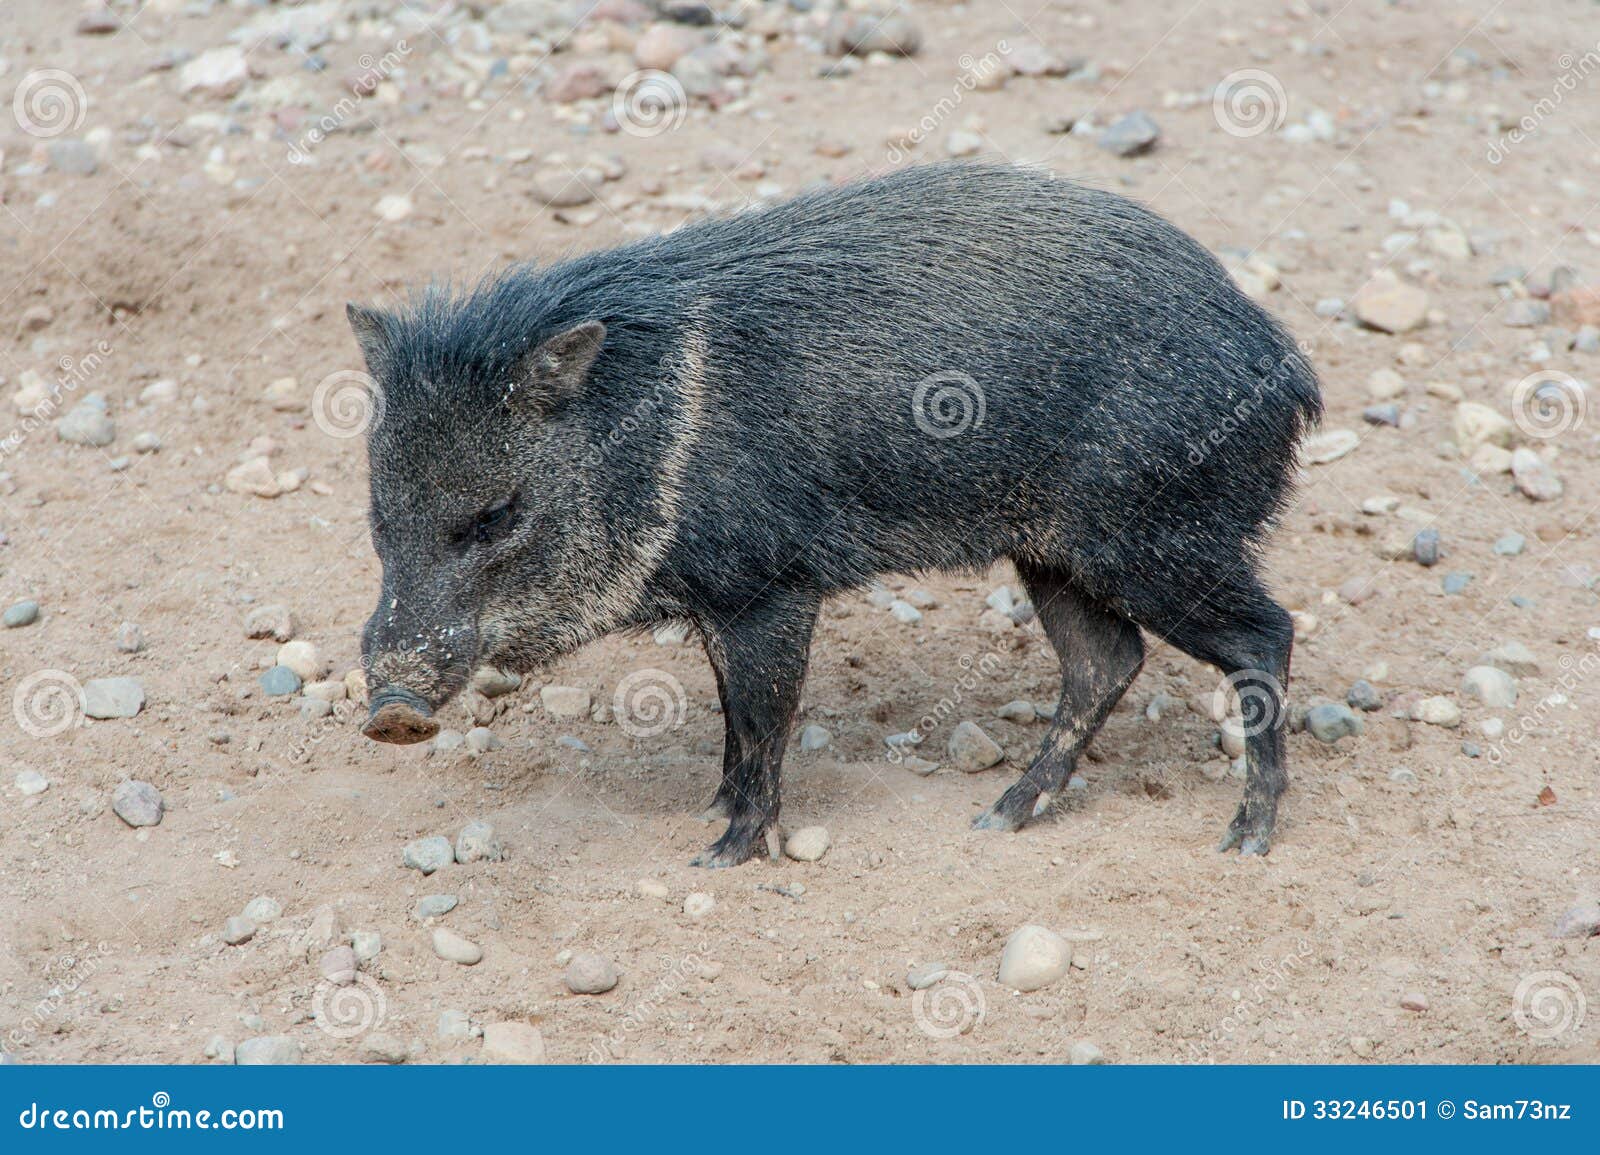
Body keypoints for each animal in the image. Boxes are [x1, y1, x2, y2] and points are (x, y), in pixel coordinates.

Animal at [350, 161, 1321, 868]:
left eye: (496, 514)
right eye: (378, 514)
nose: (391, 710)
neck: (652, 432)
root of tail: (1289, 370)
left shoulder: (771, 588)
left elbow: (764, 717)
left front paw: (730, 851)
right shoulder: (723, 600)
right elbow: (732, 715)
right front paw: (712, 811)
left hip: (1158, 540)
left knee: (1265, 634)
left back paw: (1247, 836)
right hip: (1054, 552)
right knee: (1104, 662)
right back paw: (1003, 815)